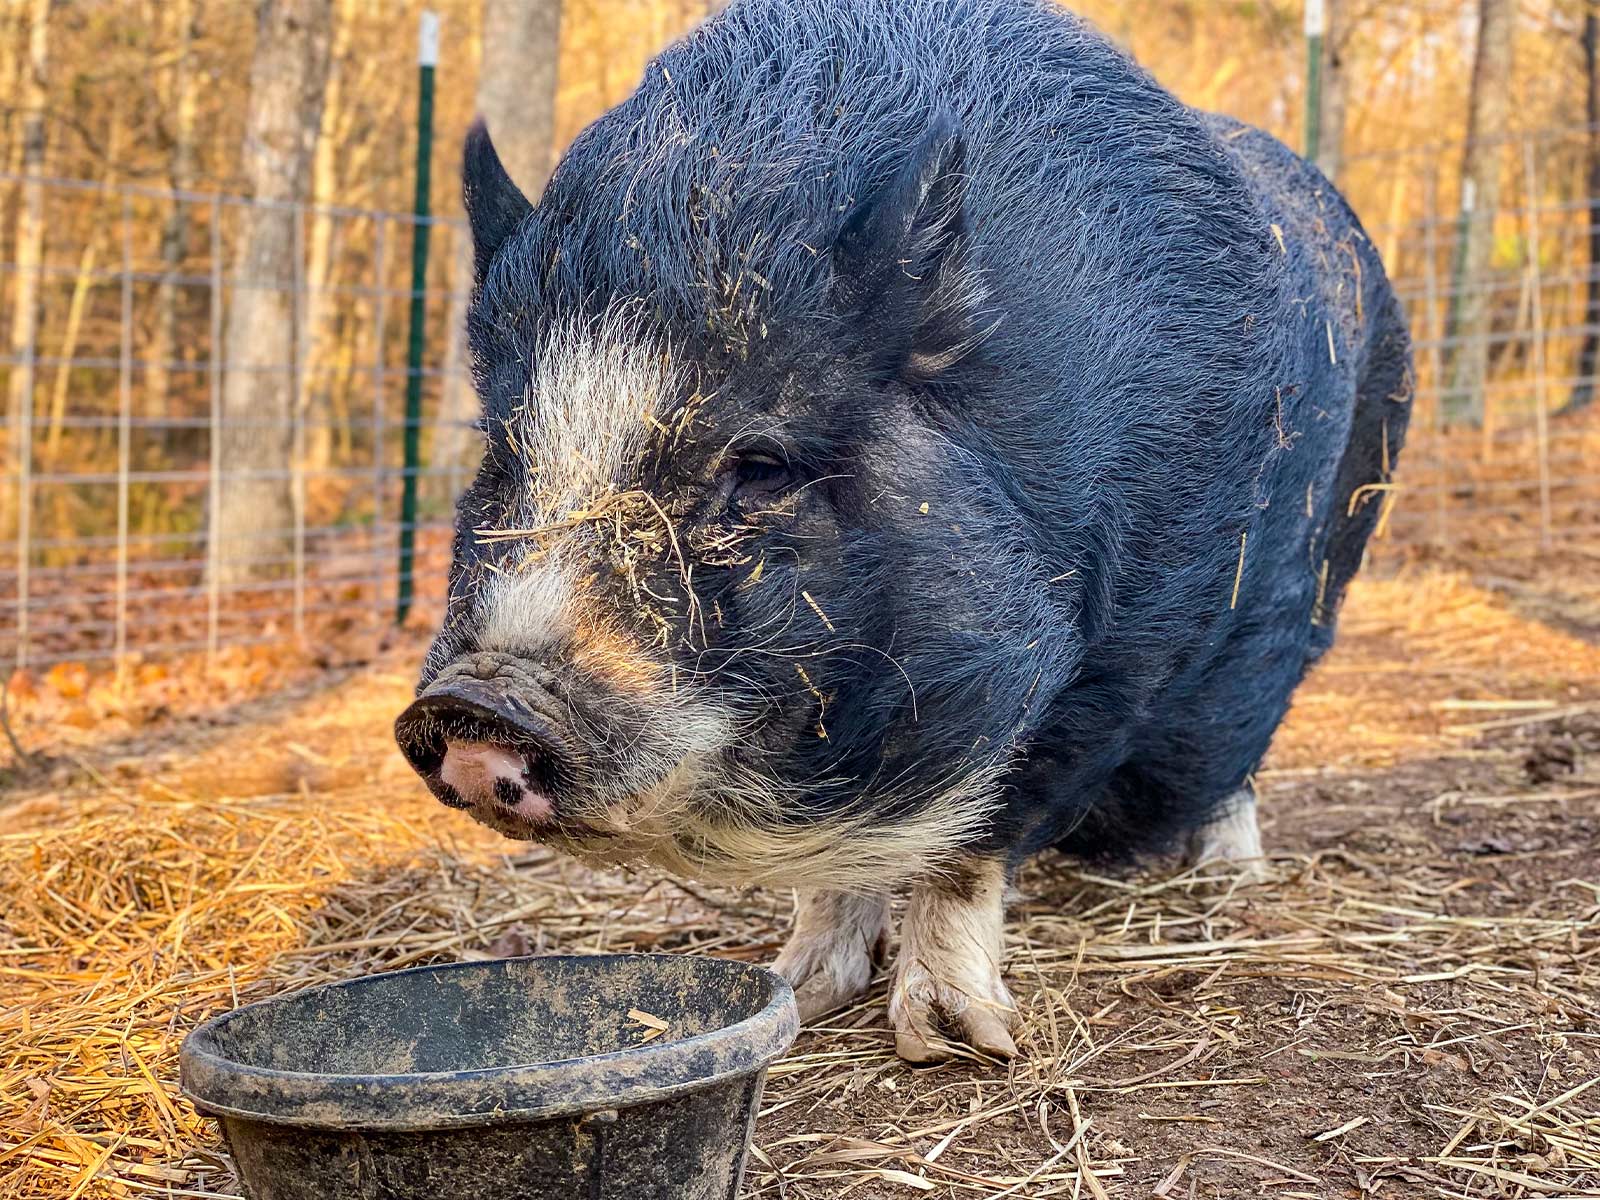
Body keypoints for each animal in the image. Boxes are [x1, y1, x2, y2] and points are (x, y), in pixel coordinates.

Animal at [394, 0, 1410, 1062]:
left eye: (764, 465)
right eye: (505, 452)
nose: (475, 702)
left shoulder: (1110, 663)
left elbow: (967, 848)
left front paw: (959, 1042)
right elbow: (837, 864)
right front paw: (799, 994)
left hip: (1329, 555)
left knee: (1247, 730)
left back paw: (1229, 875)